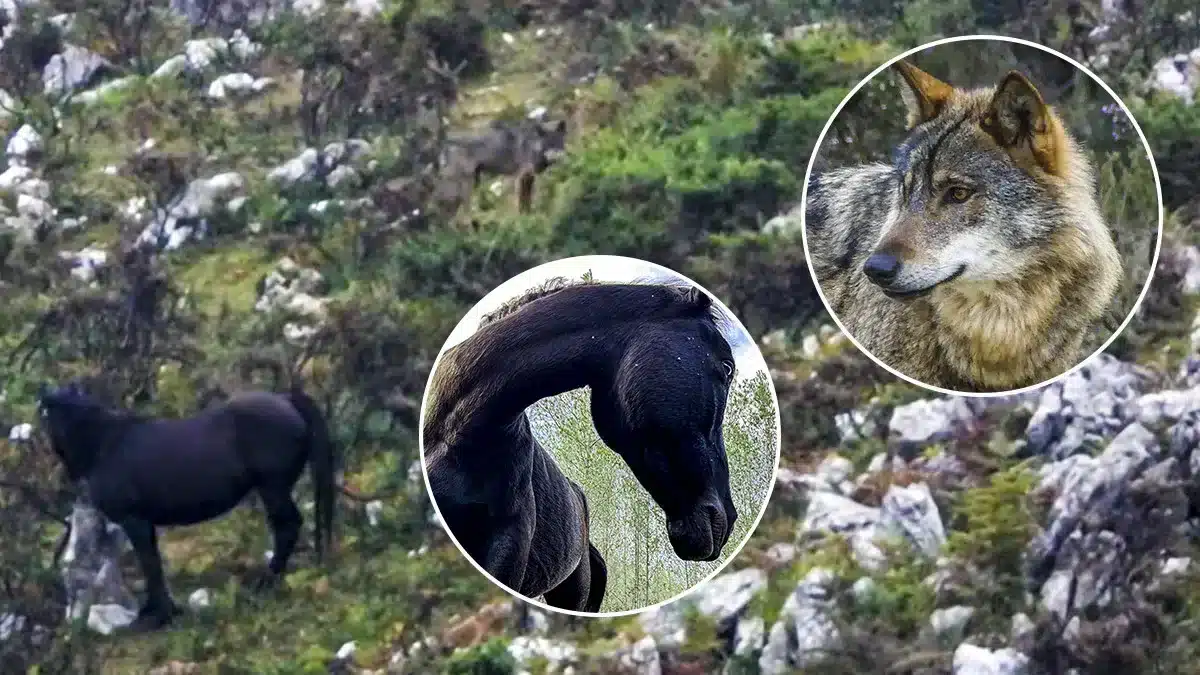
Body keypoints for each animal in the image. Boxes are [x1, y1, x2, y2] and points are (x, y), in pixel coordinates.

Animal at [435, 117, 568, 214]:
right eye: (548, 145)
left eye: (558, 143)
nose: (558, 157)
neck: (532, 145)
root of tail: (445, 142)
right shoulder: (521, 177)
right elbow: (521, 201)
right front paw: (522, 218)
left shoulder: (529, 178)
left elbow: (527, 200)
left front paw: (529, 215)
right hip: (466, 186)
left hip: (472, 184)